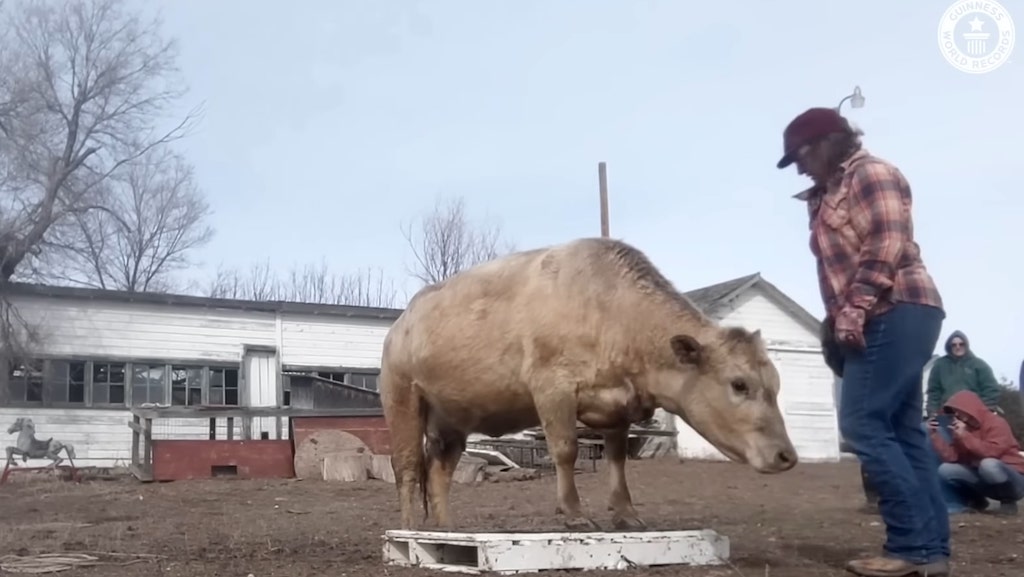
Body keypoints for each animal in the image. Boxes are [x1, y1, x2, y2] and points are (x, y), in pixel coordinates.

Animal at [380, 237, 798, 532]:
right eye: (739, 384)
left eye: (776, 385)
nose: (786, 456)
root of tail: (403, 321)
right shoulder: (553, 388)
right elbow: (566, 450)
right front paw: (574, 513)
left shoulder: (619, 404)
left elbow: (617, 457)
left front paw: (626, 513)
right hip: (403, 400)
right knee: (408, 466)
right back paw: (410, 528)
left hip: (453, 420)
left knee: (440, 471)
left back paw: (447, 529)